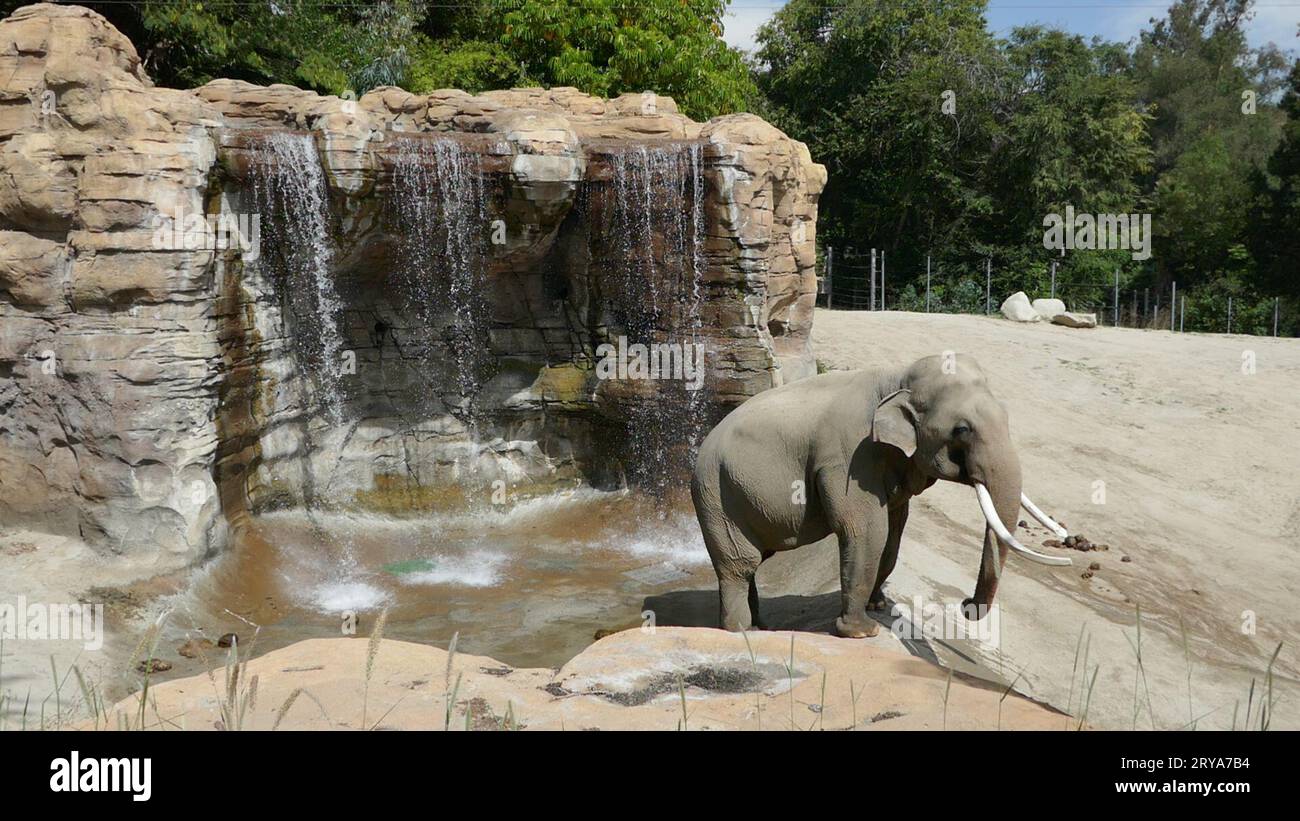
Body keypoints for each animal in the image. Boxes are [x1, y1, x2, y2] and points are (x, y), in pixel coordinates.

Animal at [690, 353, 1071, 637]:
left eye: (1006, 416)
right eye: (962, 430)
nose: (964, 605)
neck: (896, 378)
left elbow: (895, 527)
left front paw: (879, 606)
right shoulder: (849, 456)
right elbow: (865, 530)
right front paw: (862, 631)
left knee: (754, 563)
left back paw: (760, 626)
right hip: (716, 495)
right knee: (739, 565)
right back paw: (742, 631)